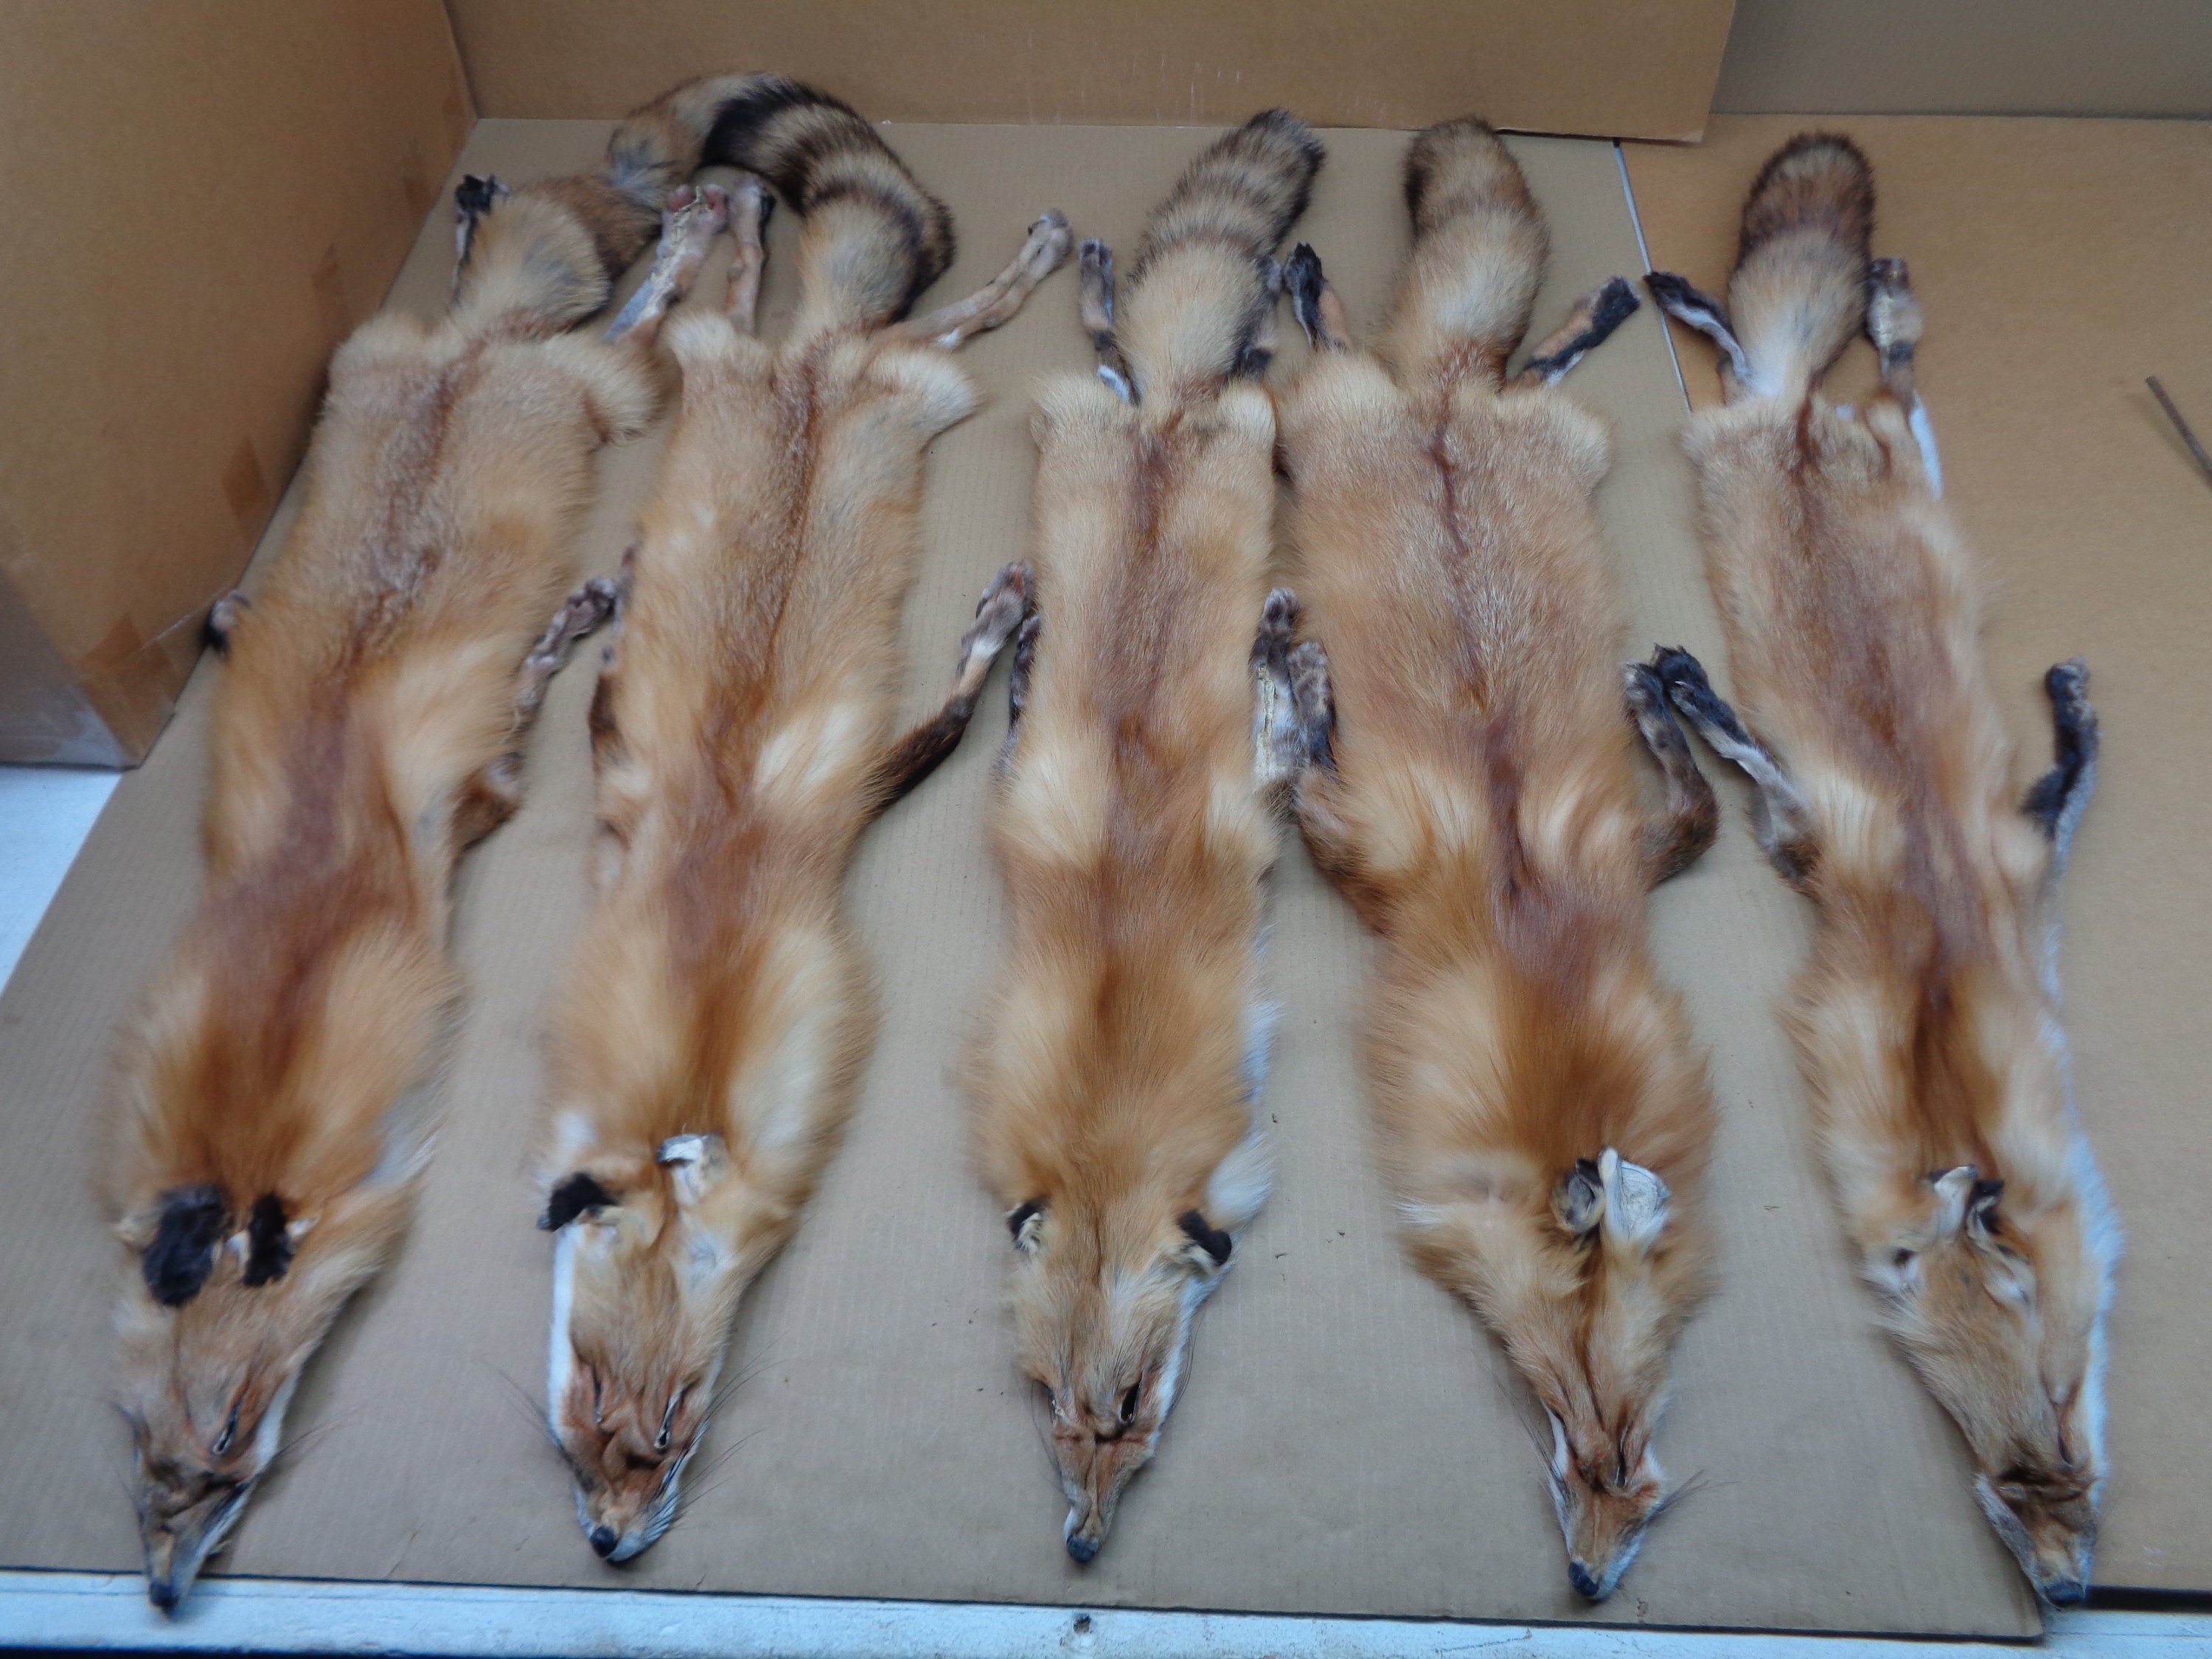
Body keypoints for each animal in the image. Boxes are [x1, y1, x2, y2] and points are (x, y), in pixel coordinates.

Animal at [100, 71, 785, 1610]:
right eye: (139, 1448)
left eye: (232, 1440)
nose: (163, 1596)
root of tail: (474, 362)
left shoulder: (470, 811)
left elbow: (511, 735)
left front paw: (567, 631)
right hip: (379, 361)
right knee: (551, 299)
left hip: (604, 394)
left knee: (648, 327)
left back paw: (699, 226)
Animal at [532, 85, 1071, 1564]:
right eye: (584, 1411)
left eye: (674, 1427)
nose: (609, 1547)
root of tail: (817, 369)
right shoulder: (629, 789)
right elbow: (603, 690)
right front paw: (612, 596)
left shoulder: (836, 801)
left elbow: (947, 721)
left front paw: (1001, 628)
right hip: (785, 367)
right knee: (777, 309)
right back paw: (730, 227)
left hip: (917, 387)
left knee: (940, 317)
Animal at [1269, 119, 1719, 1602]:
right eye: (1584, 1433)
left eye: (1644, 1473)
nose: (1590, 1583)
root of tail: (1442, 407)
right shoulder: (1383, 858)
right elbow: (1299, 769)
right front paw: (1292, 681)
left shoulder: (1623, 854)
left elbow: (1698, 810)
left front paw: (1671, 708)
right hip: (1306, 420)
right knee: (1332, 349)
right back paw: (1299, 285)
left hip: (1560, 437)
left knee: (1520, 363)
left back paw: (1598, 309)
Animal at [1642, 133, 2118, 1604]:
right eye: (2007, 1485)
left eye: (2061, 1459)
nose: (2070, 1596)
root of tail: (1801, 432)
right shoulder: (1882, 854)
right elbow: (1780, 780)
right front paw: (1689, 694)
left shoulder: (2002, 862)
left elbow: (2056, 782)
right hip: (1875, 457)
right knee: (1835, 373)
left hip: (1895, 465)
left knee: (1834, 372)